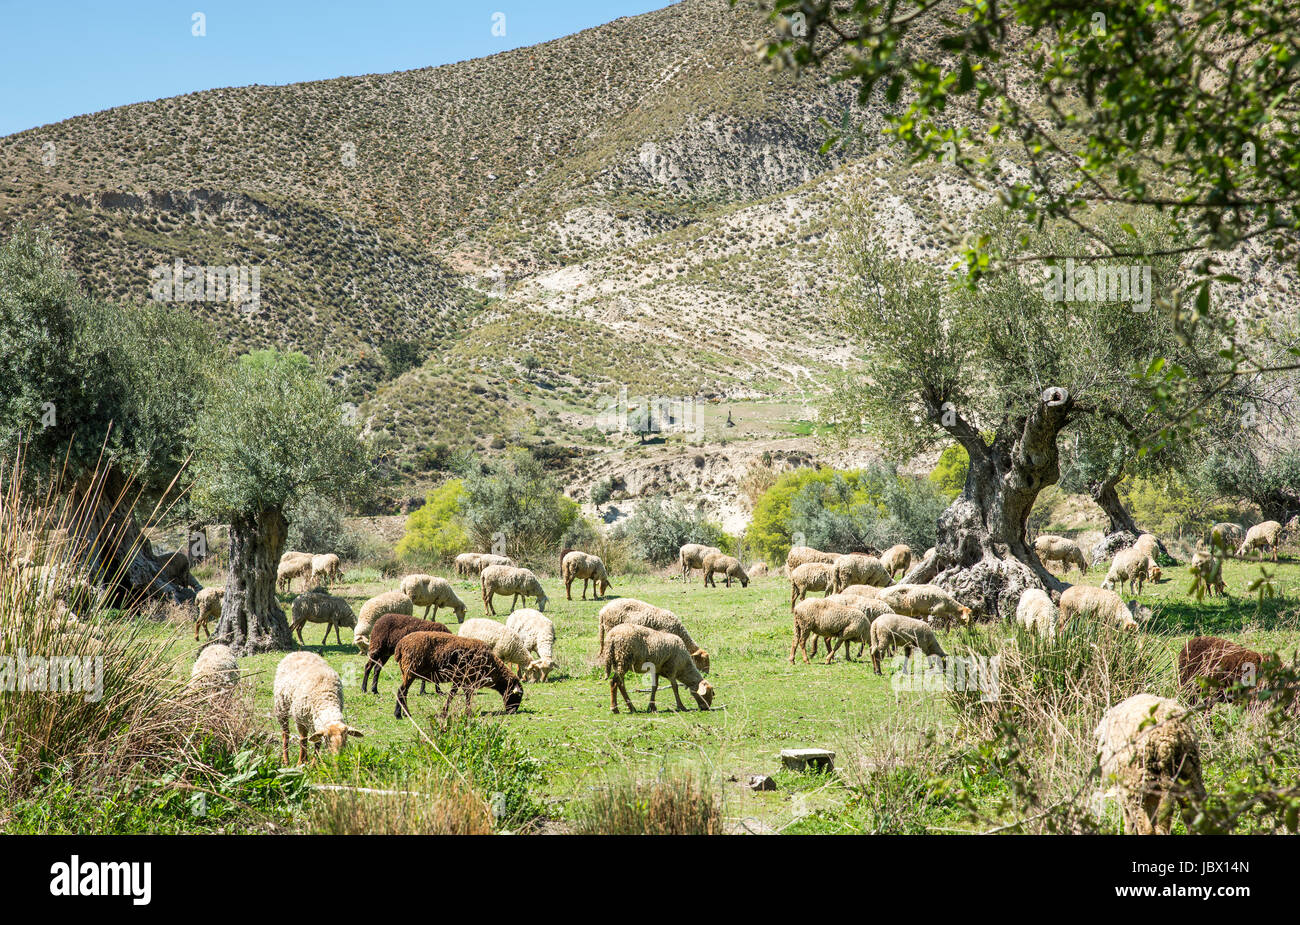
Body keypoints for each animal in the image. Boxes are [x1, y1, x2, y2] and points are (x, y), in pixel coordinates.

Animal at [393, 631, 523, 721]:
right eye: (517, 695)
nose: (512, 712)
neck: (491, 666)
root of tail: (400, 646)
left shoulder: (459, 680)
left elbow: (452, 695)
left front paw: (445, 712)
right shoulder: (467, 679)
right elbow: (467, 696)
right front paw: (468, 713)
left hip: (406, 672)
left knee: (403, 692)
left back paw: (403, 713)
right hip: (410, 671)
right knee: (401, 691)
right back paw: (401, 714)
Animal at [1095, 694, 1203, 834]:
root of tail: (1165, 738)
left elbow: (1129, 823)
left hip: (1136, 781)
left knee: (1146, 827)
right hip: (1189, 770)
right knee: (1195, 815)